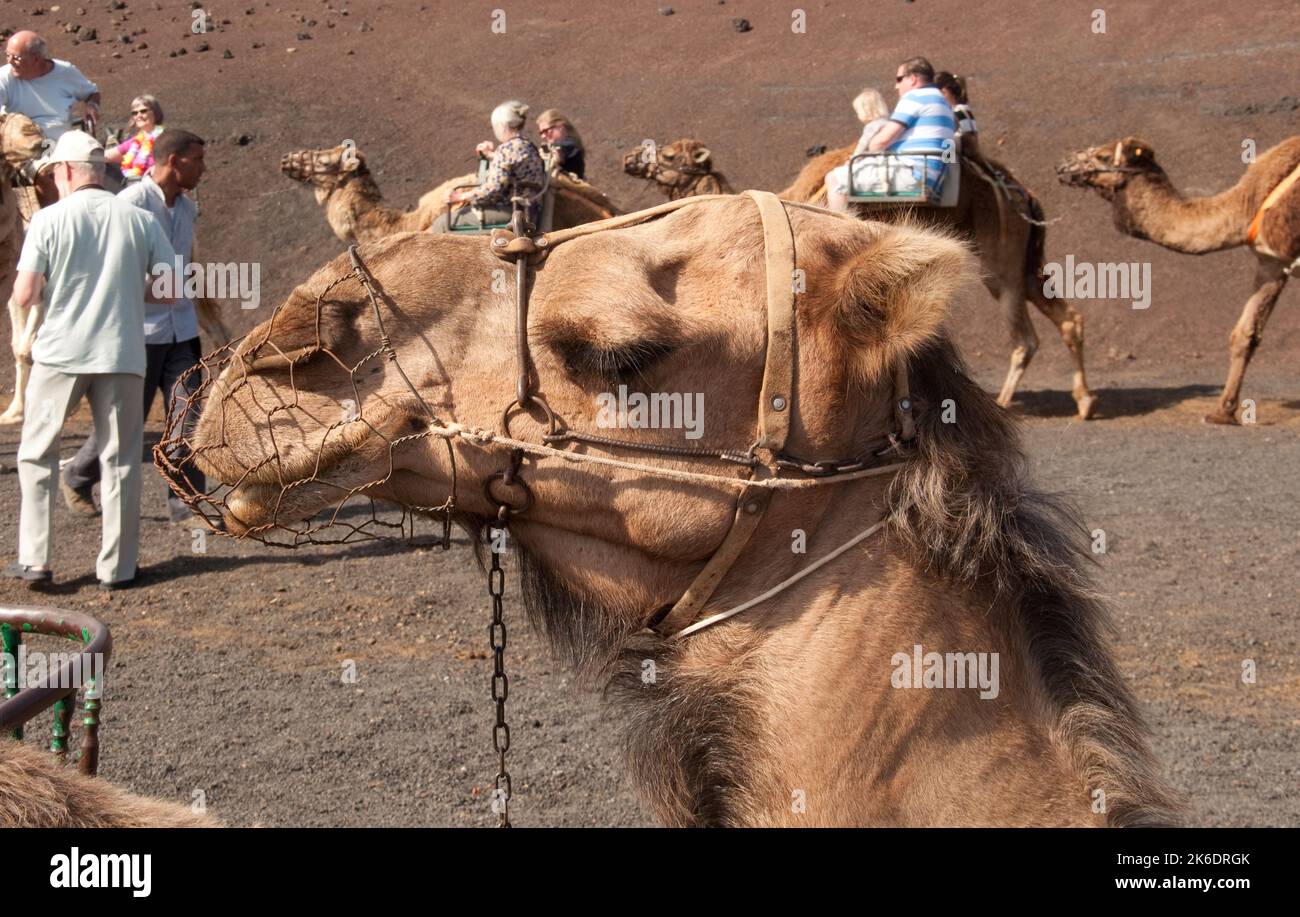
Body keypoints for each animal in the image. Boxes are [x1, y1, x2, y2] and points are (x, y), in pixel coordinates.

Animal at [627, 140, 1095, 419]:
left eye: (670, 156)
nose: (630, 158)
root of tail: (1023, 193)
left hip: (1001, 260)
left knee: (1025, 335)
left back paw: (1003, 404)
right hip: (1022, 262)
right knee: (1068, 317)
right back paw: (1083, 401)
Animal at [1057, 136, 1300, 424]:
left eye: (1103, 156)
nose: (1064, 165)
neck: (1249, 203)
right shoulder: (1272, 262)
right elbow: (1245, 334)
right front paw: (1221, 413)